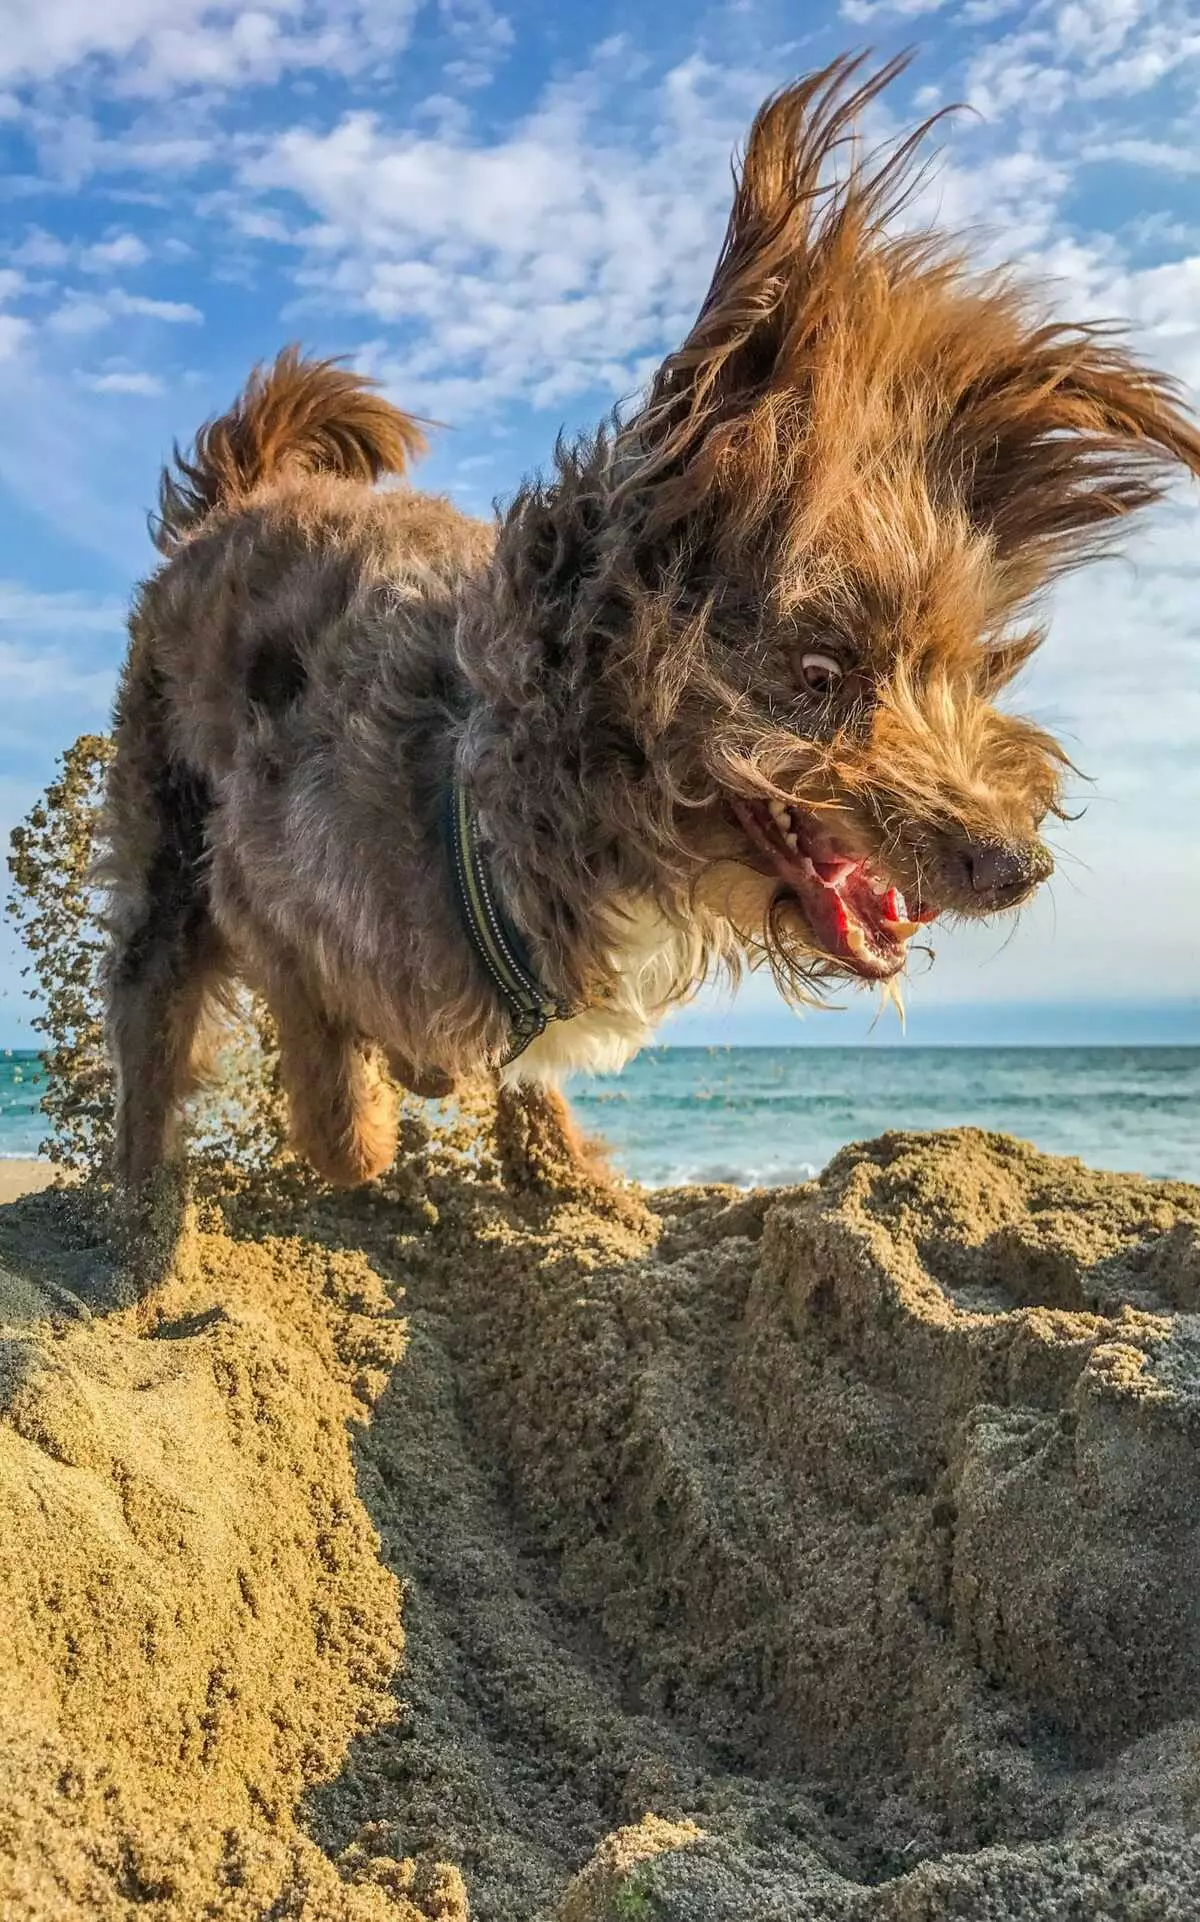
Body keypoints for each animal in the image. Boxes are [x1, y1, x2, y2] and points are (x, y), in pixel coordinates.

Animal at [100, 56, 1200, 1214]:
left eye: (960, 671)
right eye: (819, 669)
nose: (1017, 864)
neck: (498, 775)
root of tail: (240, 501)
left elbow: (510, 1067)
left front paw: (560, 1167)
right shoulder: (261, 883)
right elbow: (333, 1085)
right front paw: (365, 1119)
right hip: (167, 842)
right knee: (151, 1012)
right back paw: (139, 1195)